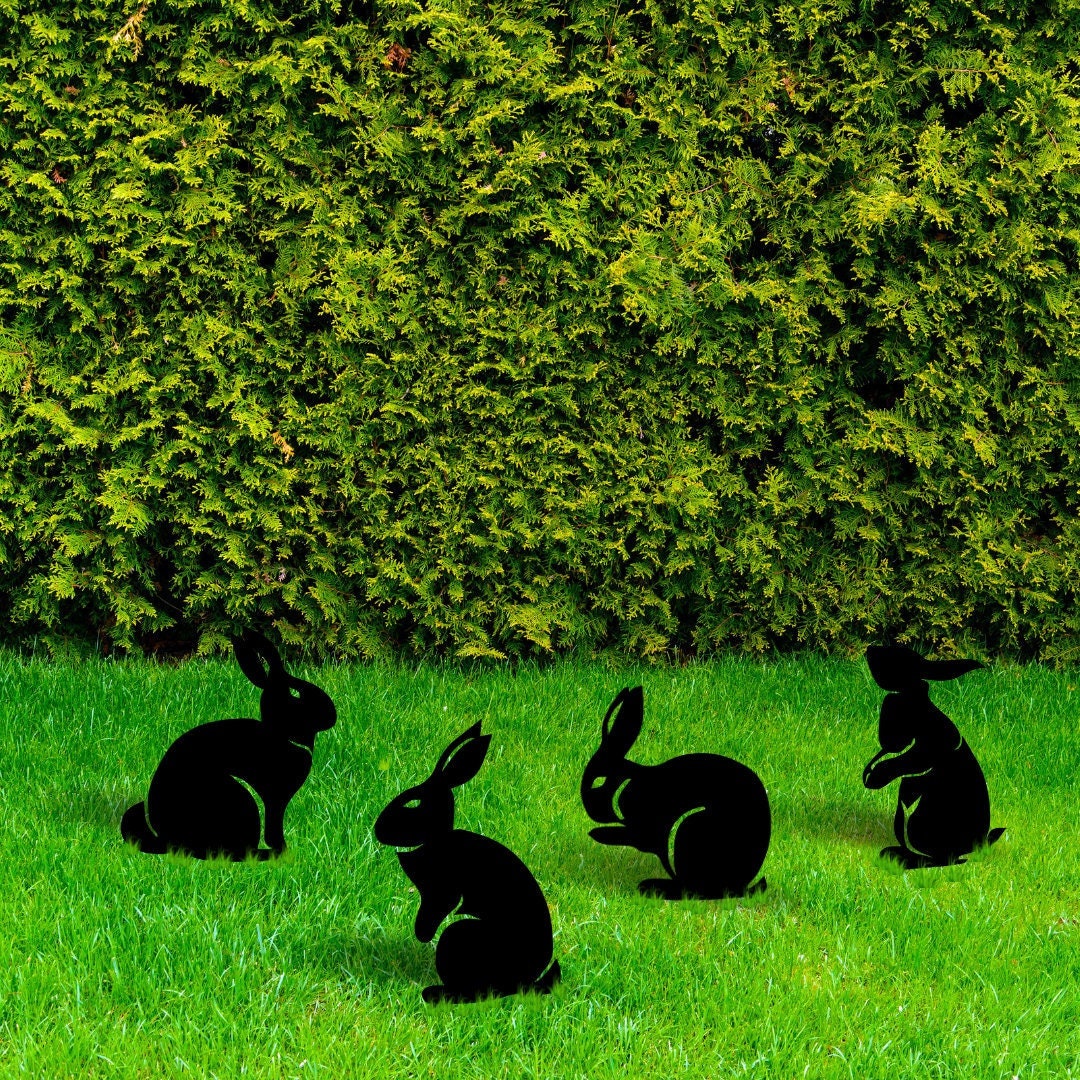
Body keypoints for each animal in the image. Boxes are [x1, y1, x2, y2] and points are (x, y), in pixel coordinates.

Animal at [121, 630, 337, 860]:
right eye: (297, 693)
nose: (332, 715)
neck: (279, 732)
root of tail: (166, 840)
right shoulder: (276, 795)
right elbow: (274, 823)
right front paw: (282, 850)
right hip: (237, 799)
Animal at [374, 721, 561, 1004]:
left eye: (412, 802)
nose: (377, 829)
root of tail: (525, 981)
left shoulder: (440, 892)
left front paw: (422, 934)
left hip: (460, 936)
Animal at [862, 644, 1005, 868]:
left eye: (897, 656)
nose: (870, 648)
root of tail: (979, 845)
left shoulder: (925, 748)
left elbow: (908, 760)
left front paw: (877, 775)